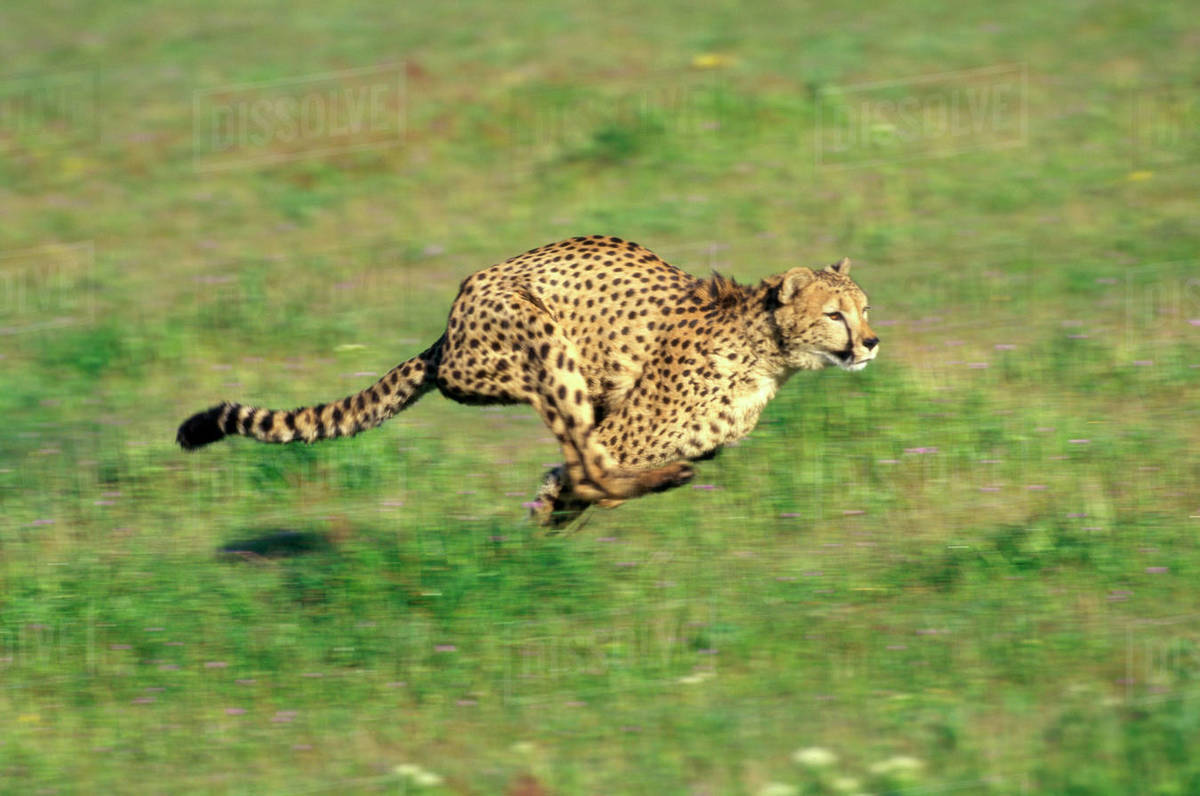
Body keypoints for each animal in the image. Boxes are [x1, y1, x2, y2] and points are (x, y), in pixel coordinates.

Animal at [176, 235, 880, 527]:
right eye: (834, 314)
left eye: (866, 308)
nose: (871, 342)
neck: (767, 350)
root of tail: (449, 328)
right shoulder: (622, 432)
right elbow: (583, 471)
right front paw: (554, 508)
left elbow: (562, 477)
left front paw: (548, 507)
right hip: (539, 341)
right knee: (592, 470)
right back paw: (653, 483)